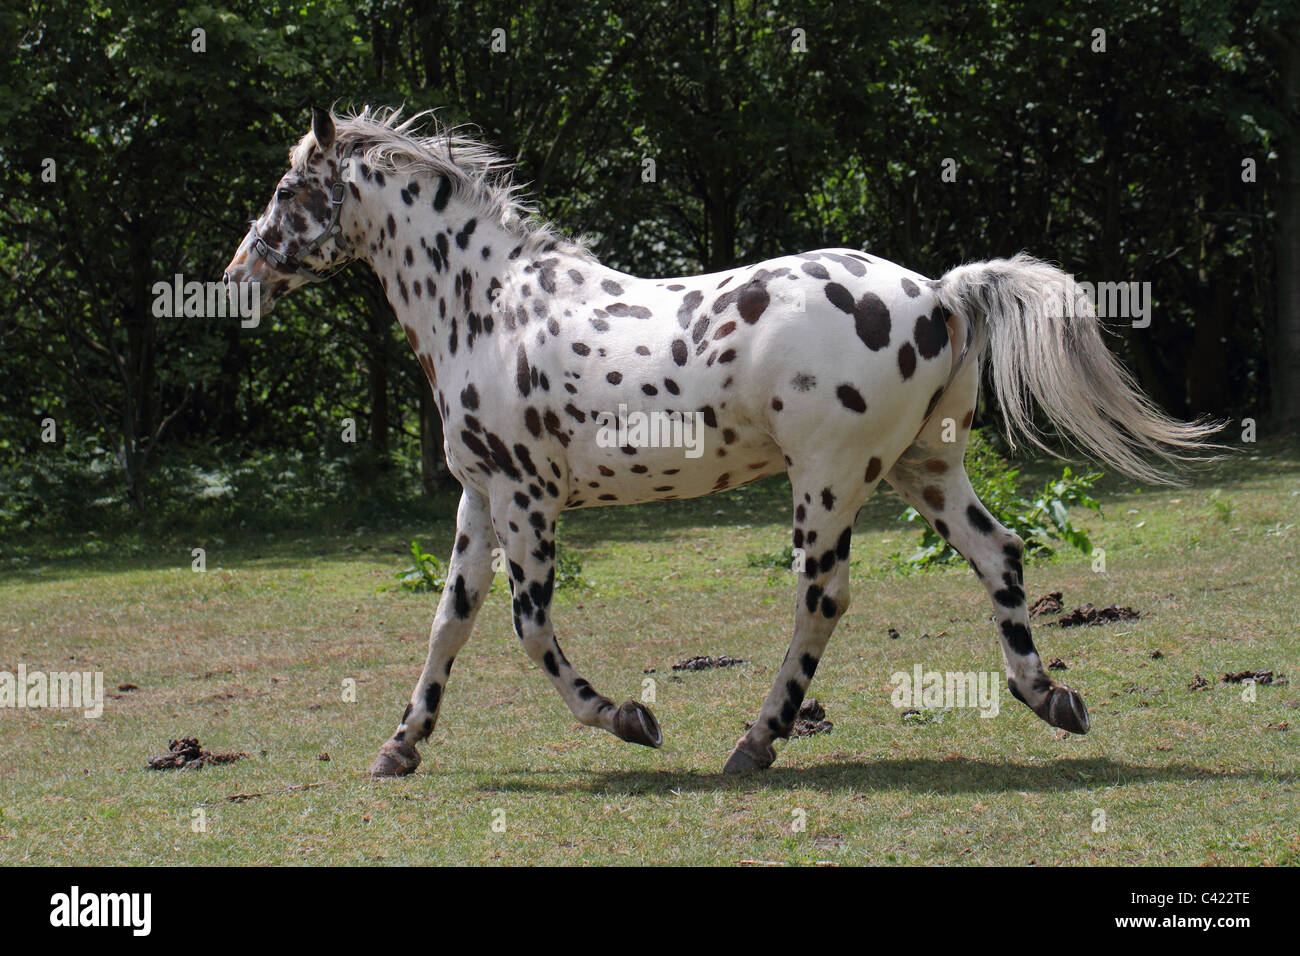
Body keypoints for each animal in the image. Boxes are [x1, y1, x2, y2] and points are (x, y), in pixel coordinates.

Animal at [223, 107, 1217, 775]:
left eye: (286, 191)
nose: (236, 276)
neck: (491, 308)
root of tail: (939, 292)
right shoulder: (480, 496)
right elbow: (447, 624)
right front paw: (400, 747)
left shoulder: (529, 501)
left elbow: (529, 628)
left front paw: (627, 719)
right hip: (922, 468)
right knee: (999, 554)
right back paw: (1048, 697)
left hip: (829, 482)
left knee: (823, 600)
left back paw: (755, 741)